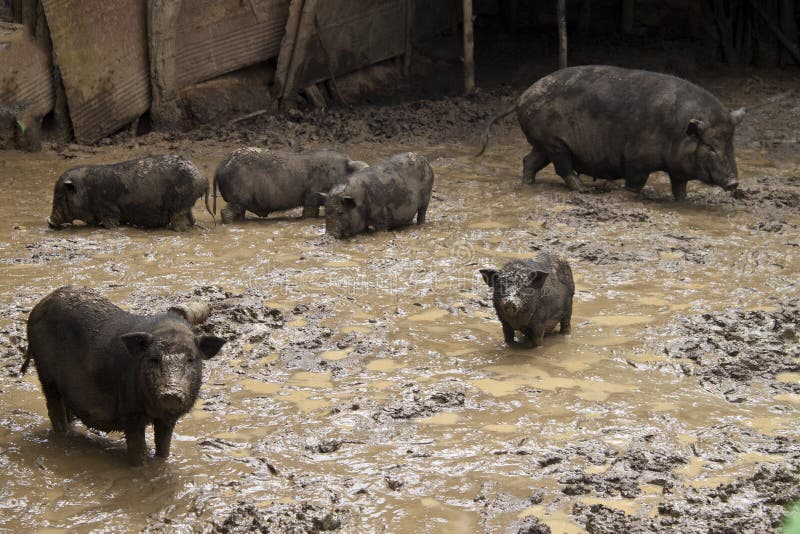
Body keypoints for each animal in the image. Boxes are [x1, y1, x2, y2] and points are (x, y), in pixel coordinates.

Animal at [22, 286, 226, 466]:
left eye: (191, 359)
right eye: (154, 359)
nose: (171, 393)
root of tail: (38, 306)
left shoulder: (169, 418)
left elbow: (164, 446)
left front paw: (162, 462)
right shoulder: (130, 411)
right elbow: (137, 448)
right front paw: (142, 466)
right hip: (46, 375)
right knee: (53, 407)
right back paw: (63, 435)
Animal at [47, 154, 213, 231]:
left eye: (60, 196)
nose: (49, 222)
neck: (87, 192)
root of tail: (203, 178)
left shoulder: (109, 211)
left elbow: (111, 223)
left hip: (179, 205)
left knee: (180, 222)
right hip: (186, 205)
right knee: (191, 219)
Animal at [212, 147, 369, 223]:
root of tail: (220, 165)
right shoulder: (311, 197)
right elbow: (308, 213)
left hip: (240, 202)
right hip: (238, 198)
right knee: (225, 212)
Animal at [477, 65, 745, 200]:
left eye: (731, 143)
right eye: (710, 146)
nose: (734, 182)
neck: (677, 130)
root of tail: (522, 97)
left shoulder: (677, 169)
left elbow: (680, 188)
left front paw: (683, 201)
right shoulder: (637, 158)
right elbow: (635, 182)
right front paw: (622, 194)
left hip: (543, 143)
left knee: (529, 160)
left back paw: (529, 185)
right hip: (555, 142)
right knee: (562, 167)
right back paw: (584, 190)